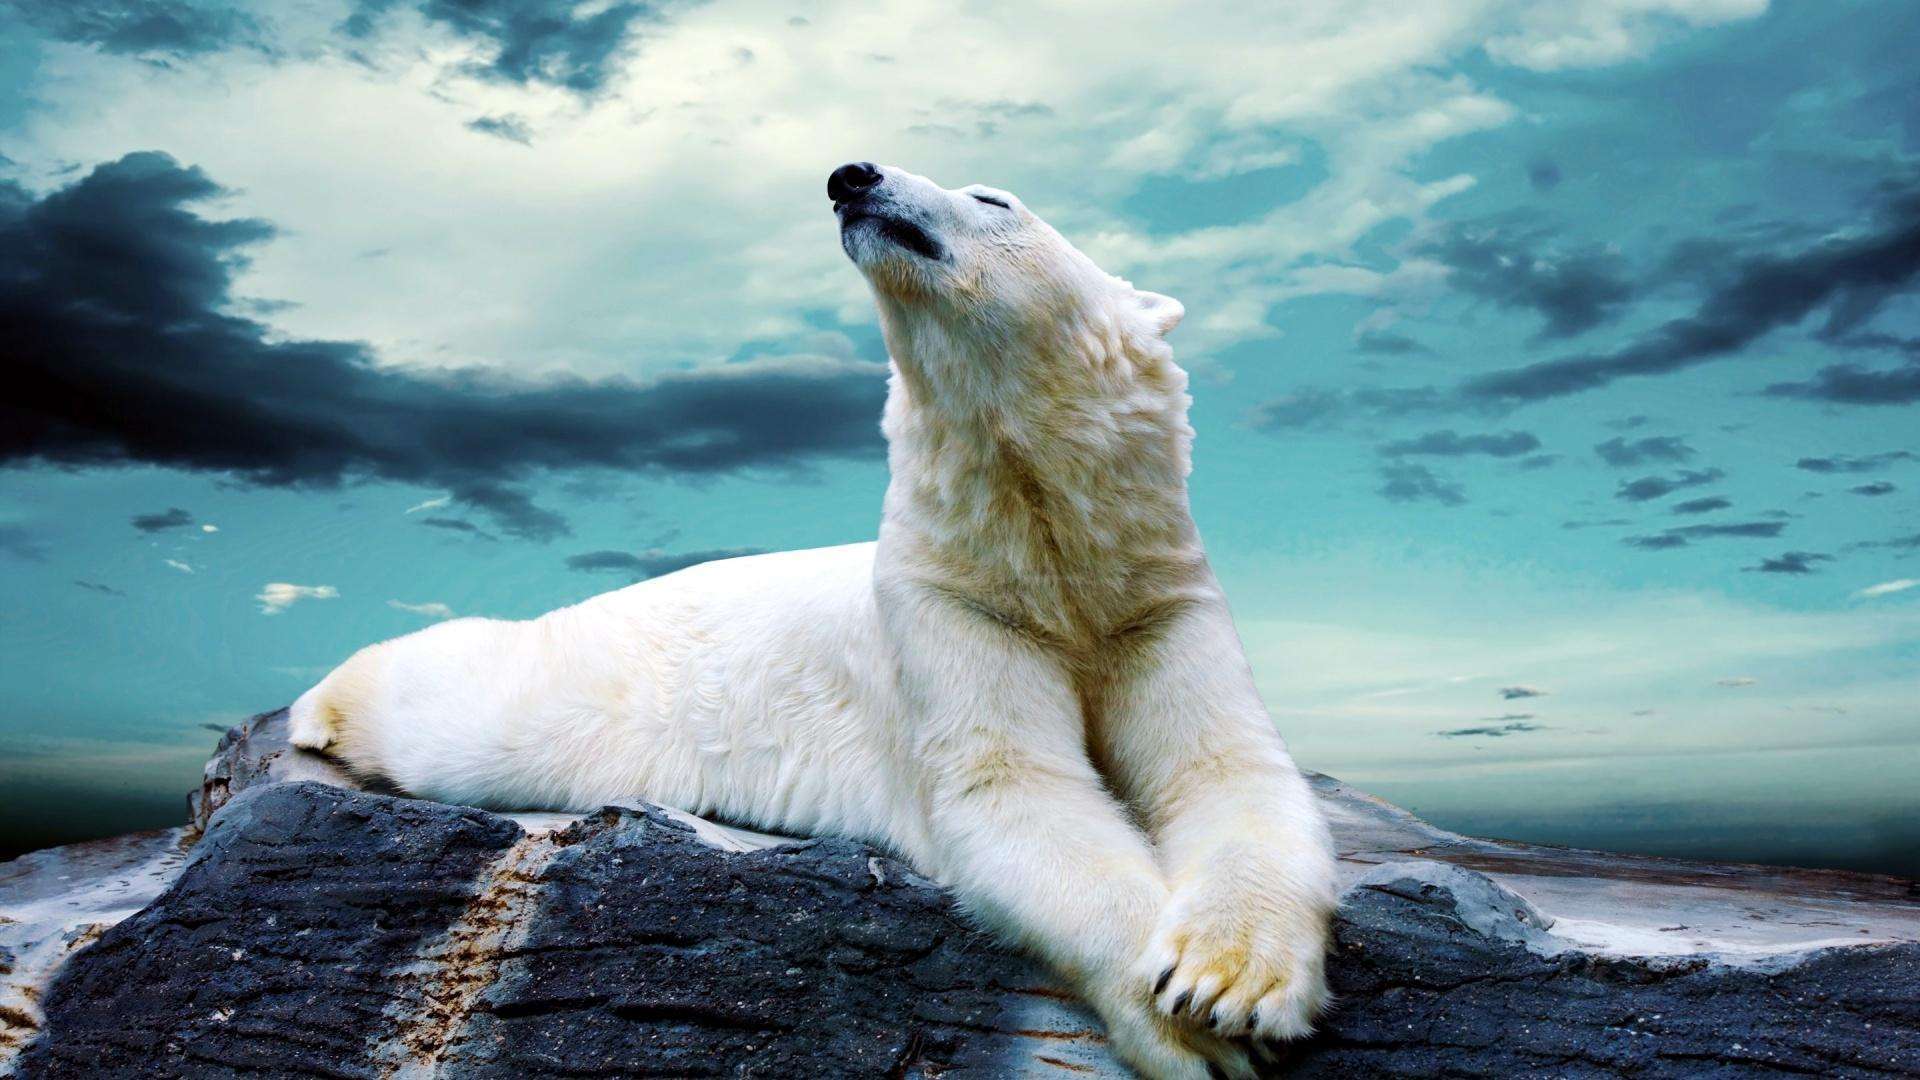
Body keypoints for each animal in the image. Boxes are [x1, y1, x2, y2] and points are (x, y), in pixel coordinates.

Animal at [289, 162, 1337, 1079]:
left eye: (994, 197)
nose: (851, 176)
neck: (1044, 549)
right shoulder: (947, 605)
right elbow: (1014, 790)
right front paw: (1191, 1025)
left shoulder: (1153, 599)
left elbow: (1229, 770)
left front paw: (1227, 982)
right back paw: (318, 711)